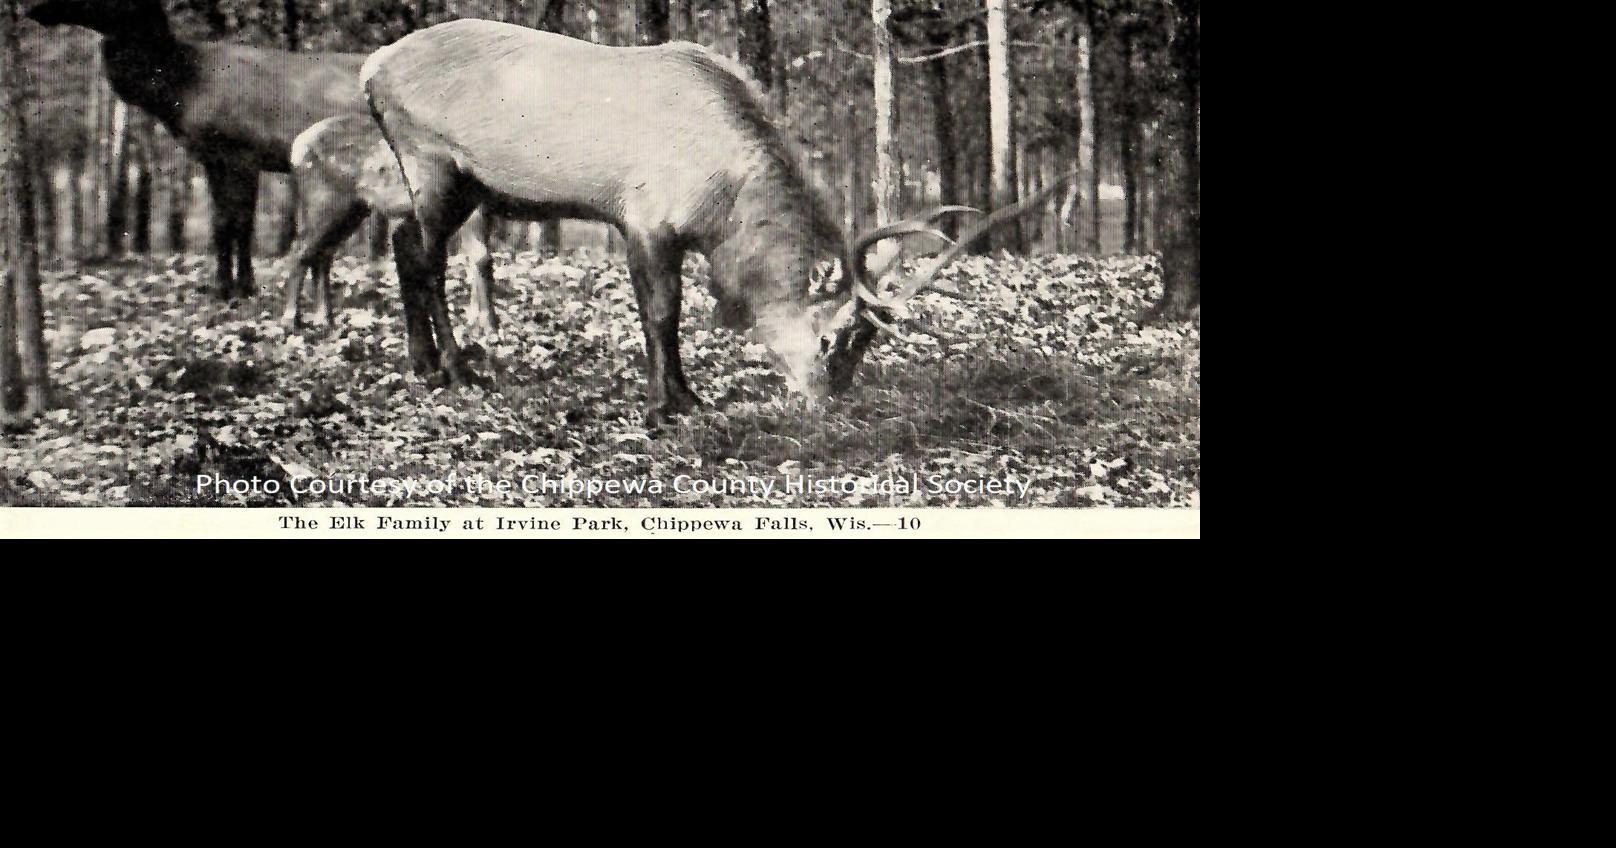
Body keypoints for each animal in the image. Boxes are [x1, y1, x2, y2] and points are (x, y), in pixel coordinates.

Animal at [26, 0, 370, 301]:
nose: (34, 9)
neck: (179, 88)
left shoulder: (243, 152)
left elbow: (240, 222)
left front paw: (242, 287)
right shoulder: (212, 158)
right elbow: (220, 223)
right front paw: (225, 287)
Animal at [280, 114, 498, 337]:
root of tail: (297, 148)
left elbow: (478, 258)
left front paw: (478, 321)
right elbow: (481, 257)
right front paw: (487, 326)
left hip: (351, 211)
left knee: (321, 255)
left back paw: (325, 321)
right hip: (326, 204)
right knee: (300, 251)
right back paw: (291, 321)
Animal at [362, 19, 1052, 427]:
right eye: (835, 338)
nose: (824, 402)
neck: (727, 201)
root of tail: (373, 67)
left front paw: (678, 397)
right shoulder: (644, 220)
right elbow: (661, 310)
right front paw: (671, 403)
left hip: (461, 184)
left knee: (403, 241)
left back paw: (425, 364)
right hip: (434, 163)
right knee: (425, 254)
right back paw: (458, 370)